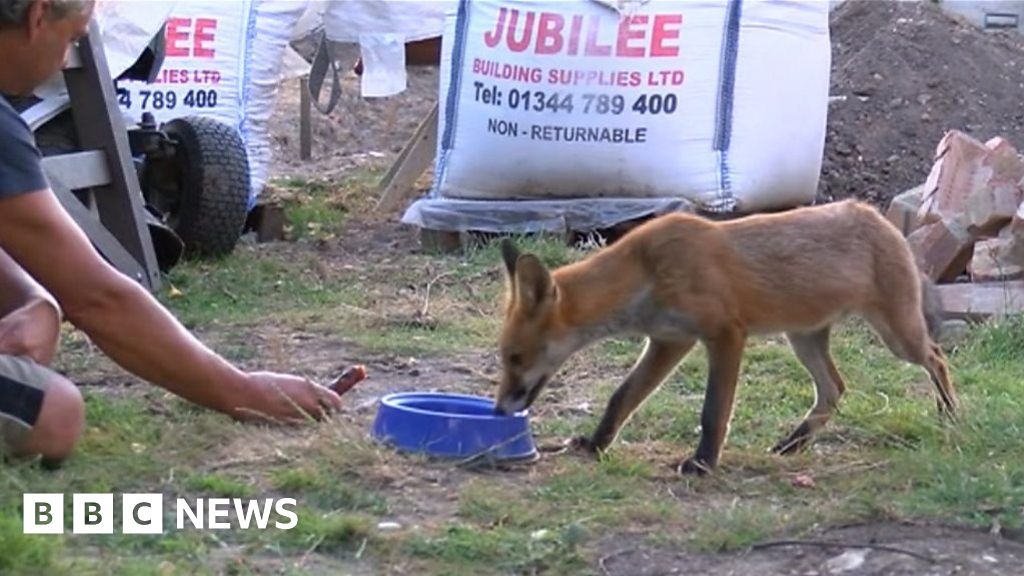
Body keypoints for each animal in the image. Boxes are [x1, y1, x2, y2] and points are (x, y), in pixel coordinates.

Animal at [493, 199, 958, 475]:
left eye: (515, 357)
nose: (498, 411)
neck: (645, 271)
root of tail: (874, 213)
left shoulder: (724, 333)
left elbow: (713, 411)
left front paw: (702, 464)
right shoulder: (668, 340)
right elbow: (621, 398)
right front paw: (595, 444)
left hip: (897, 335)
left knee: (936, 356)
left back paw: (950, 418)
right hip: (803, 337)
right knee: (835, 389)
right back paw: (794, 443)